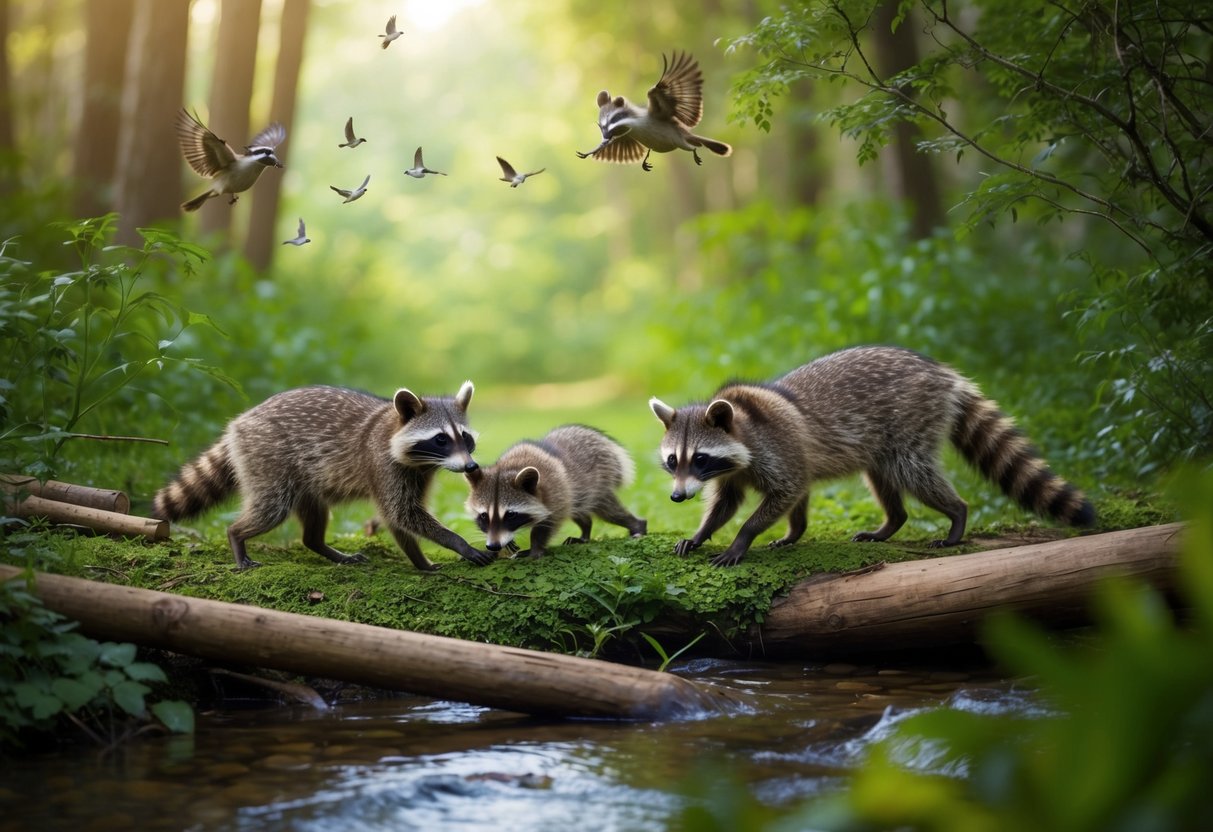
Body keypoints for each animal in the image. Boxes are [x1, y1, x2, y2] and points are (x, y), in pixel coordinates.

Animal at [152, 382, 493, 571]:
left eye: (465, 438)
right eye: (441, 439)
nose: (470, 467)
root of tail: (240, 422)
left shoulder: (417, 474)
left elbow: (397, 518)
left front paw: (419, 561)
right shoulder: (382, 464)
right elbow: (401, 512)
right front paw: (457, 543)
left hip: (303, 477)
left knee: (312, 519)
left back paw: (322, 546)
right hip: (267, 457)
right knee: (271, 507)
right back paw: (237, 535)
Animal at [464, 424, 647, 558]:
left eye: (510, 515)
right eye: (484, 516)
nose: (493, 546)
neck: (510, 466)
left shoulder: (555, 494)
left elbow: (545, 526)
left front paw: (535, 549)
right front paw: (507, 541)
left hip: (597, 485)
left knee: (609, 511)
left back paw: (638, 525)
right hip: (576, 495)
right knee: (581, 513)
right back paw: (585, 533)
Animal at [649, 346, 1096, 567]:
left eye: (700, 458)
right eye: (674, 461)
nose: (676, 497)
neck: (741, 423)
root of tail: (945, 375)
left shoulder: (778, 449)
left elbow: (784, 492)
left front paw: (743, 537)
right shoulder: (739, 471)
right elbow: (732, 502)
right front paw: (703, 532)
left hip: (911, 422)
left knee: (916, 473)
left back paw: (956, 513)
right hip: (880, 445)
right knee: (882, 480)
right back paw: (890, 522)